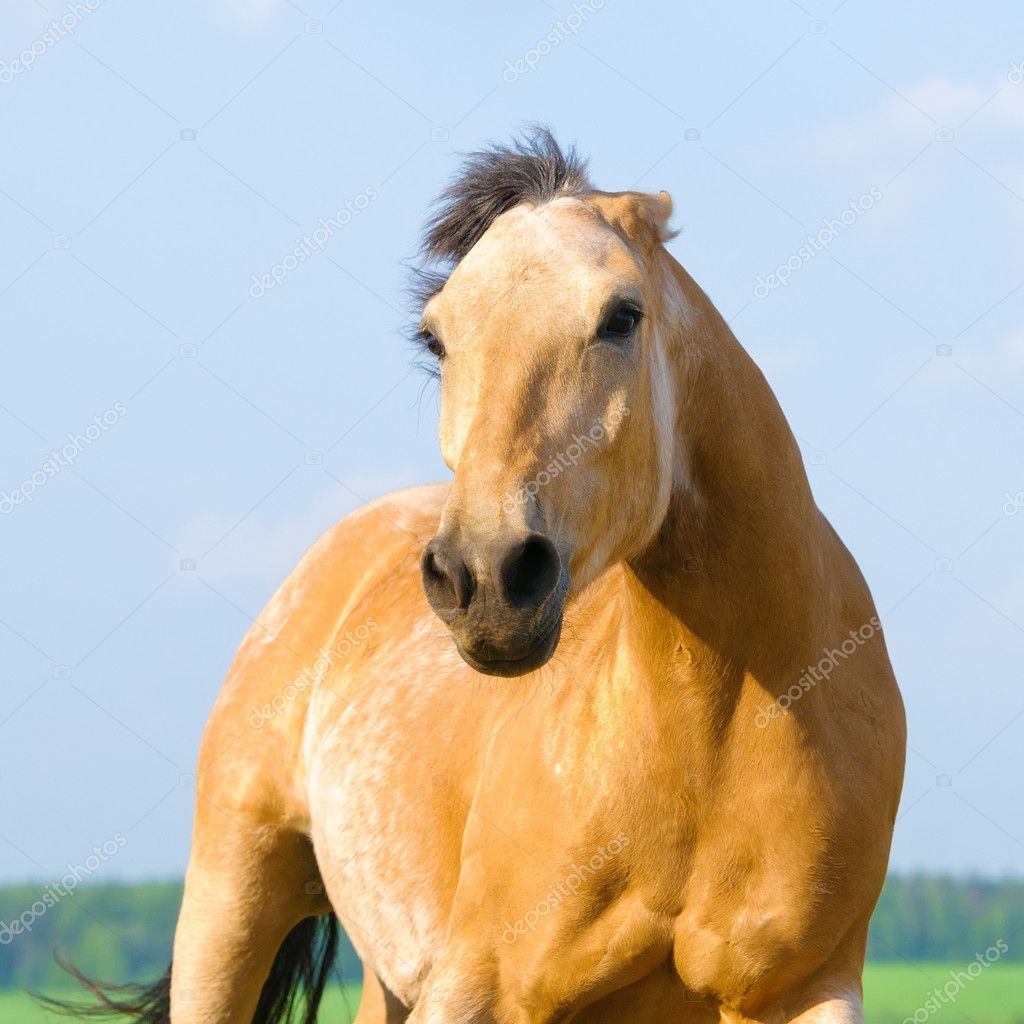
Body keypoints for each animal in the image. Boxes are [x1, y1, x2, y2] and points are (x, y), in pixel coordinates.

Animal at [65, 129, 905, 1024]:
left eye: (621, 316)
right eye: (436, 338)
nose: (486, 577)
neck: (711, 736)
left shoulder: (809, 990)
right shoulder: (481, 986)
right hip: (231, 898)